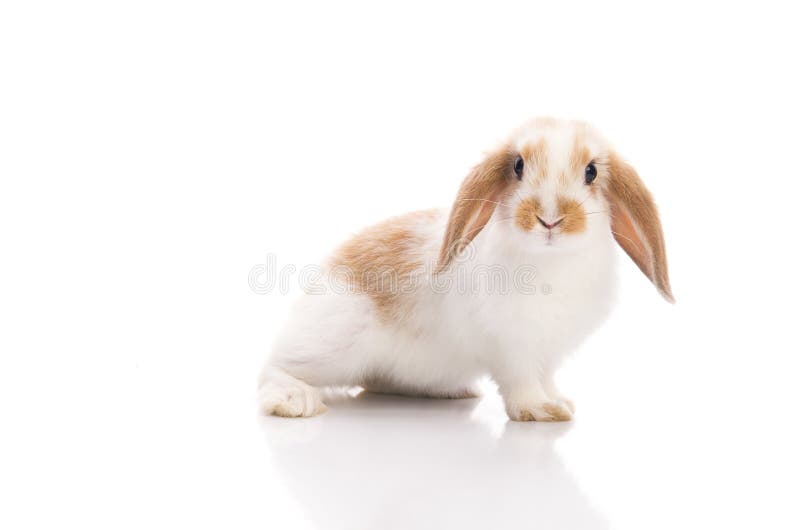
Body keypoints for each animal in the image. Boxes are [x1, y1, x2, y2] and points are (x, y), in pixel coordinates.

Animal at [258, 117, 673, 421]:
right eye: (518, 166)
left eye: (591, 172)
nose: (550, 219)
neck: (550, 261)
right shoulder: (512, 348)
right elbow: (522, 381)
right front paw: (541, 411)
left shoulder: (548, 350)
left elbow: (547, 376)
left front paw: (560, 401)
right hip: (333, 344)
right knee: (274, 369)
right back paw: (294, 400)